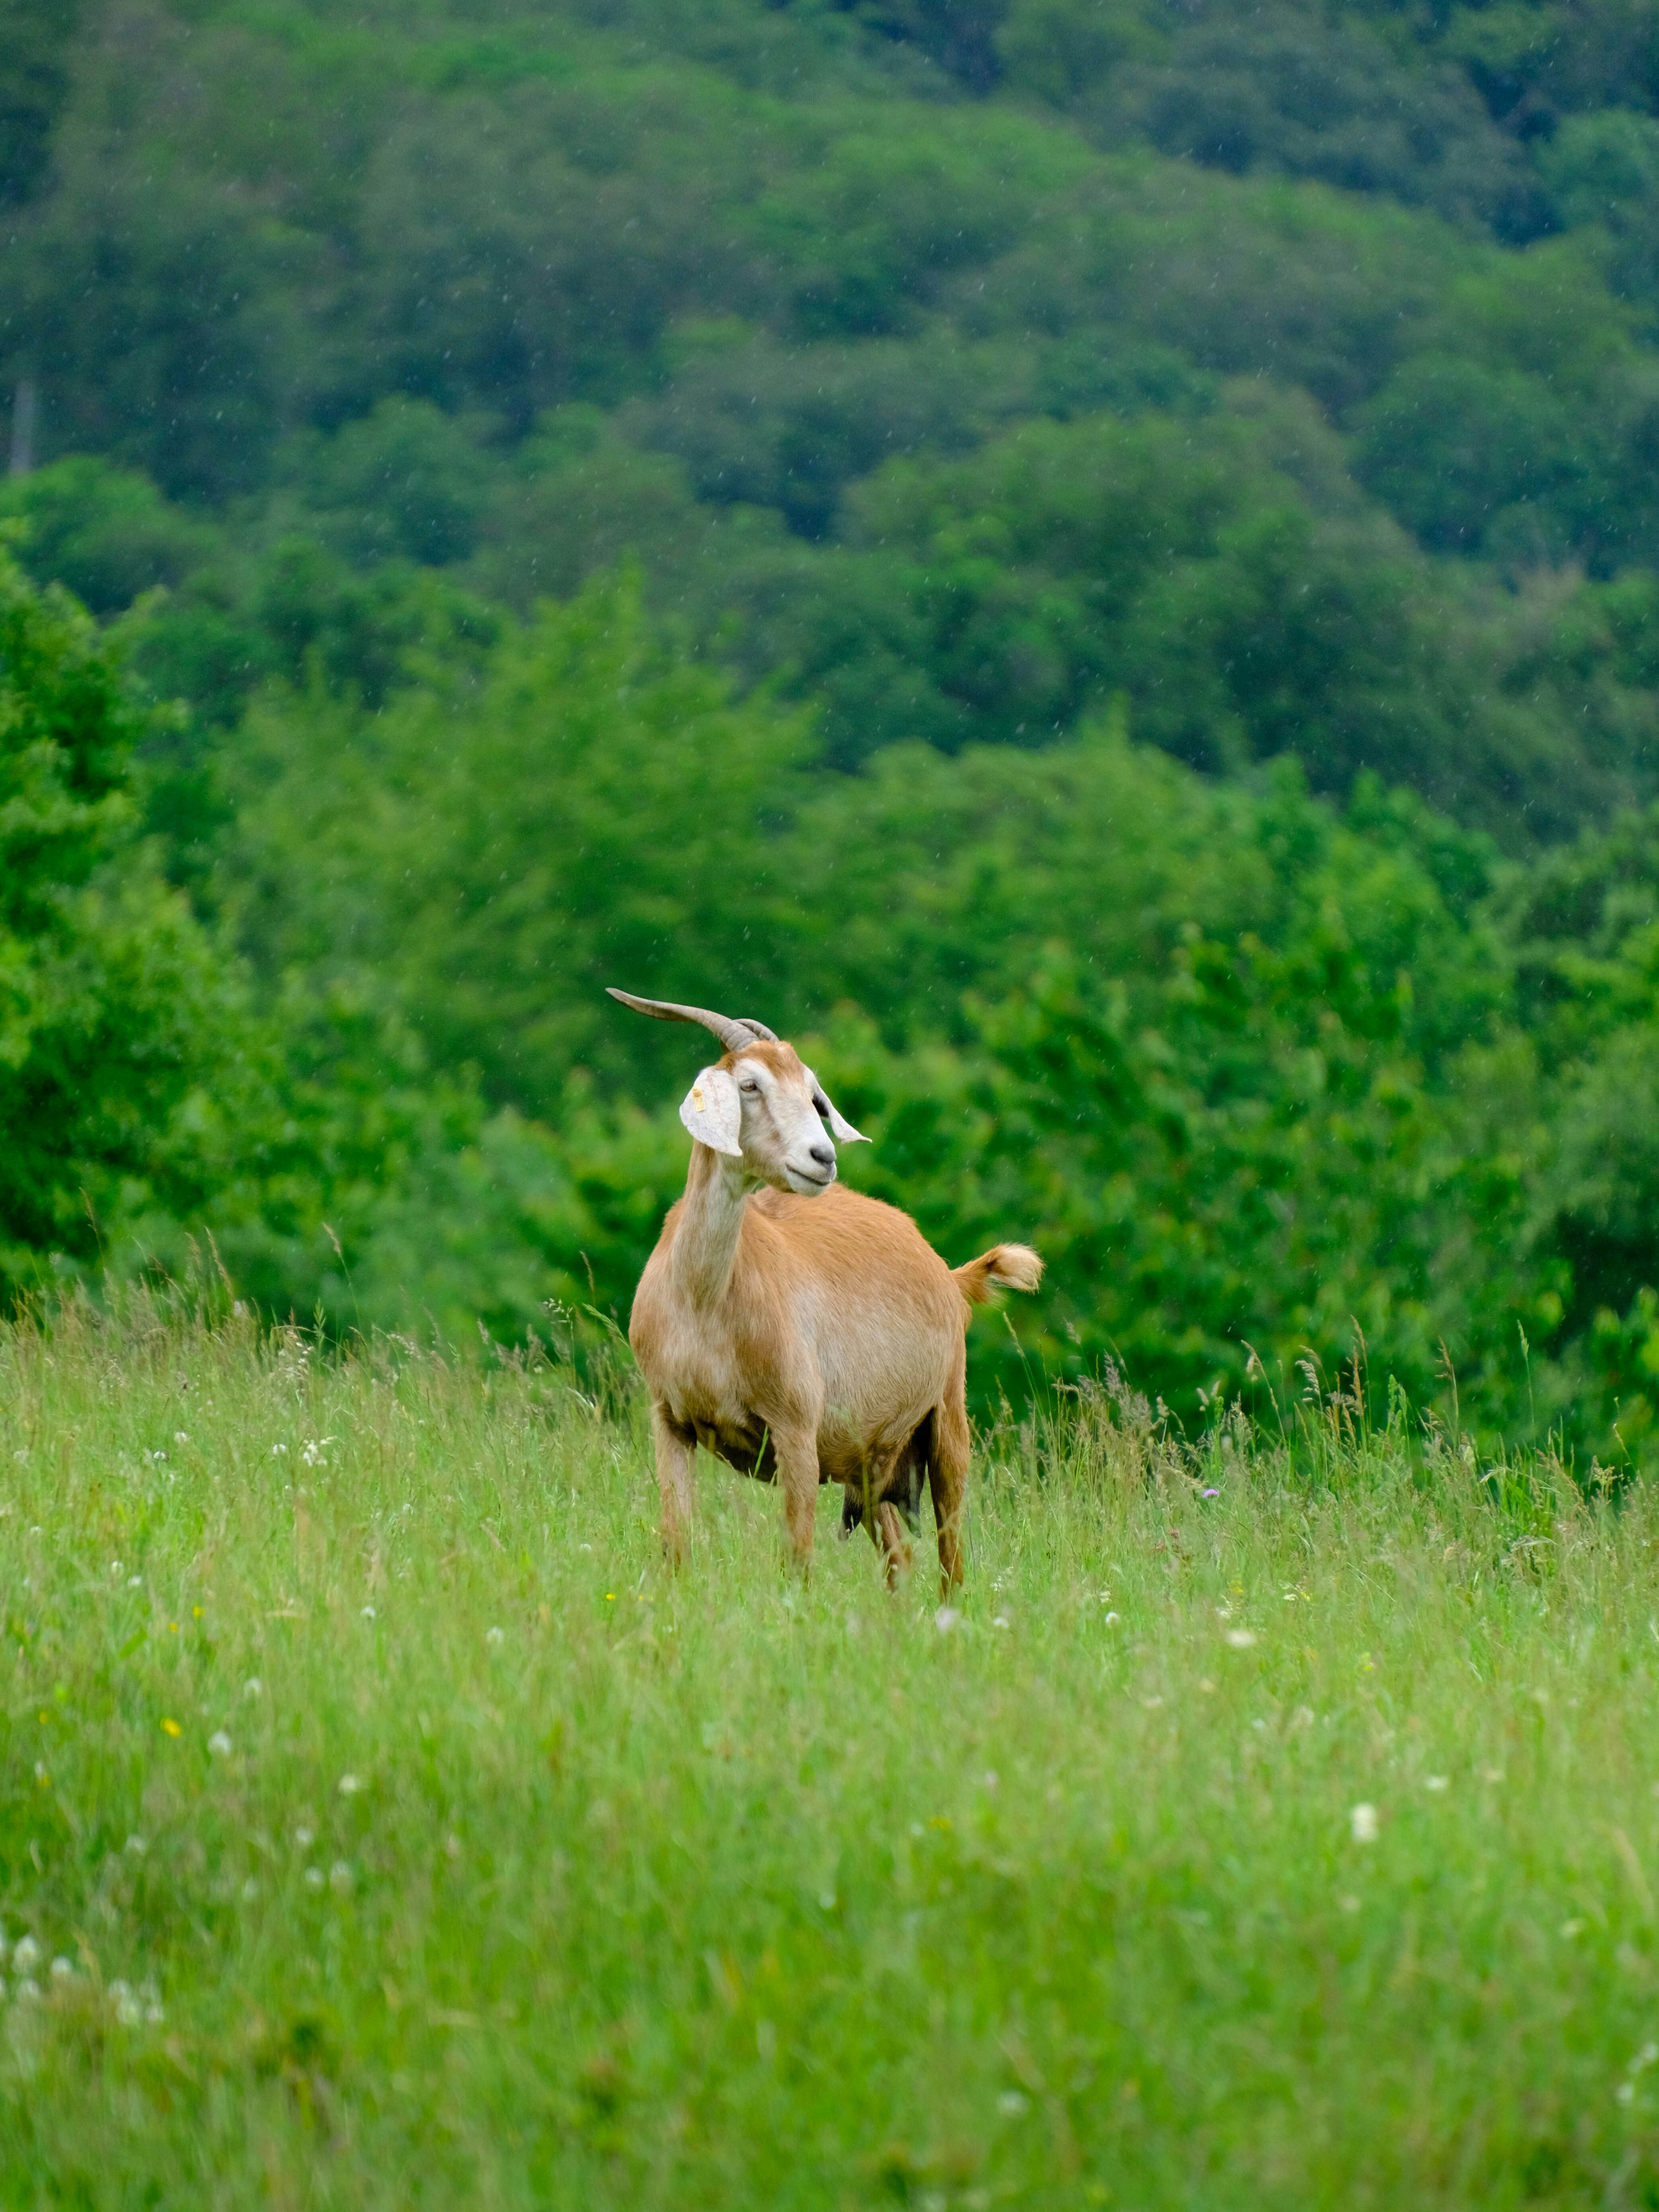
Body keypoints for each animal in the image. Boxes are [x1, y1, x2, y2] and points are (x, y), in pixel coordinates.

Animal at [609, 988, 1042, 1591]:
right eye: (750, 1085)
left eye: (812, 1094)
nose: (823, 1157)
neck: (703, 1305)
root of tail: (947, 1274)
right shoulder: (670, 1420)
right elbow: (675, 1542)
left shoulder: (795, 1430)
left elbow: (797, 1555)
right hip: (871, 1460)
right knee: (899, 1557)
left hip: (946, 1421)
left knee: (951, 1554)